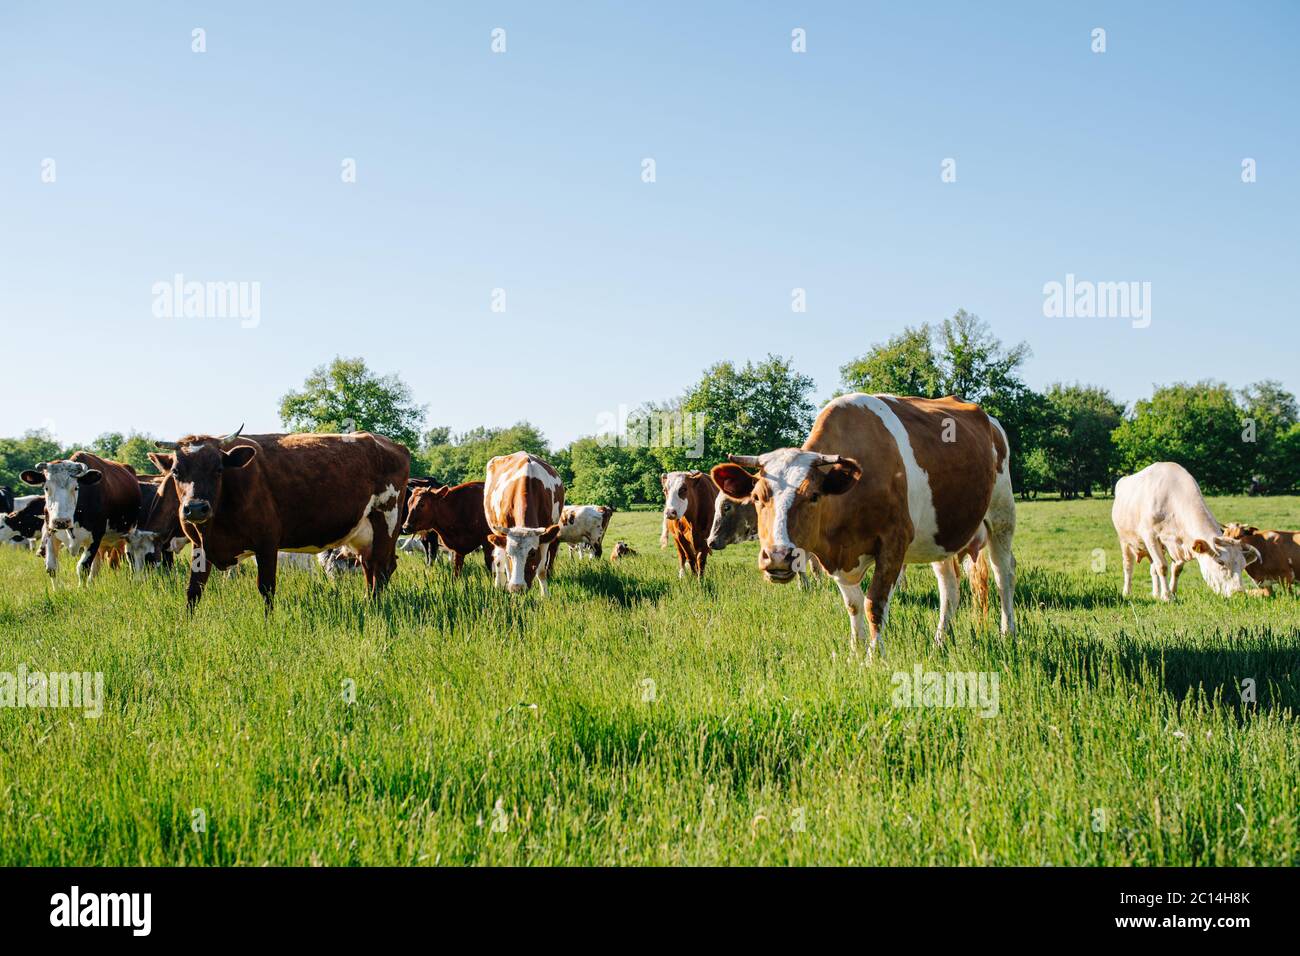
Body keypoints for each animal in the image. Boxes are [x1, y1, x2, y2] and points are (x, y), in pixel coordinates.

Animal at [21, 453, 142, 583]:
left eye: (76, 487)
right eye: (46, 488)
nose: (61, 521)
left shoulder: (95, 537)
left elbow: (83, 568)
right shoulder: (50, 533)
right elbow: (51, 568)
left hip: (129, 534)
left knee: (130, 559)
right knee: (96, 565)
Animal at [151, 427, 410, 610]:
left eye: (218, 470)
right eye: (176, 471)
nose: (195, 508)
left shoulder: (267, 542)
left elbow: (266, 588)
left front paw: (268, 625)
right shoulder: (200, 545)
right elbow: (193, 590)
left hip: (386, 522)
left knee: (381, 569)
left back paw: (374, 609)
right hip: (364, 534)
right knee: (370, 568)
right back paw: (368, 603)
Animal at [483, 452, 564, 595]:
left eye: (532, 553)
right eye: (509, 554)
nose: (517, 588)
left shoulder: (545, 538)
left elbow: (541, 571)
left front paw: (545, 595)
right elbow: (508, 567)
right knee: (500, 563)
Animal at [710, 394, 1017, 660]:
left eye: (814, 495)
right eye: (758, 497)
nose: (777, 556)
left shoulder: (894, 543)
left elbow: (874, 604)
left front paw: (873, 657)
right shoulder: (836, 558)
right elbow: (853, 605)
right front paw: (854, 653)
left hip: (1002, 514)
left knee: (1004, 574)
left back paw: (1007, 634)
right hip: (940, 536)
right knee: (949, 588)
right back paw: (939, 641)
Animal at [1112, 462, 1259, 601]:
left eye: (1243, 565)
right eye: (1220, 562)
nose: (1239, 594)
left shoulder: (1179, 543)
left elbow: (1176, 569)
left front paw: (1172, 593)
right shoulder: (1150, 536)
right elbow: (1162, 567)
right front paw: (1167, 597)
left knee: (1153, 569)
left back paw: (1155, 594)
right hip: (1124, 540)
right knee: (1128, 566)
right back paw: (1127, 592)